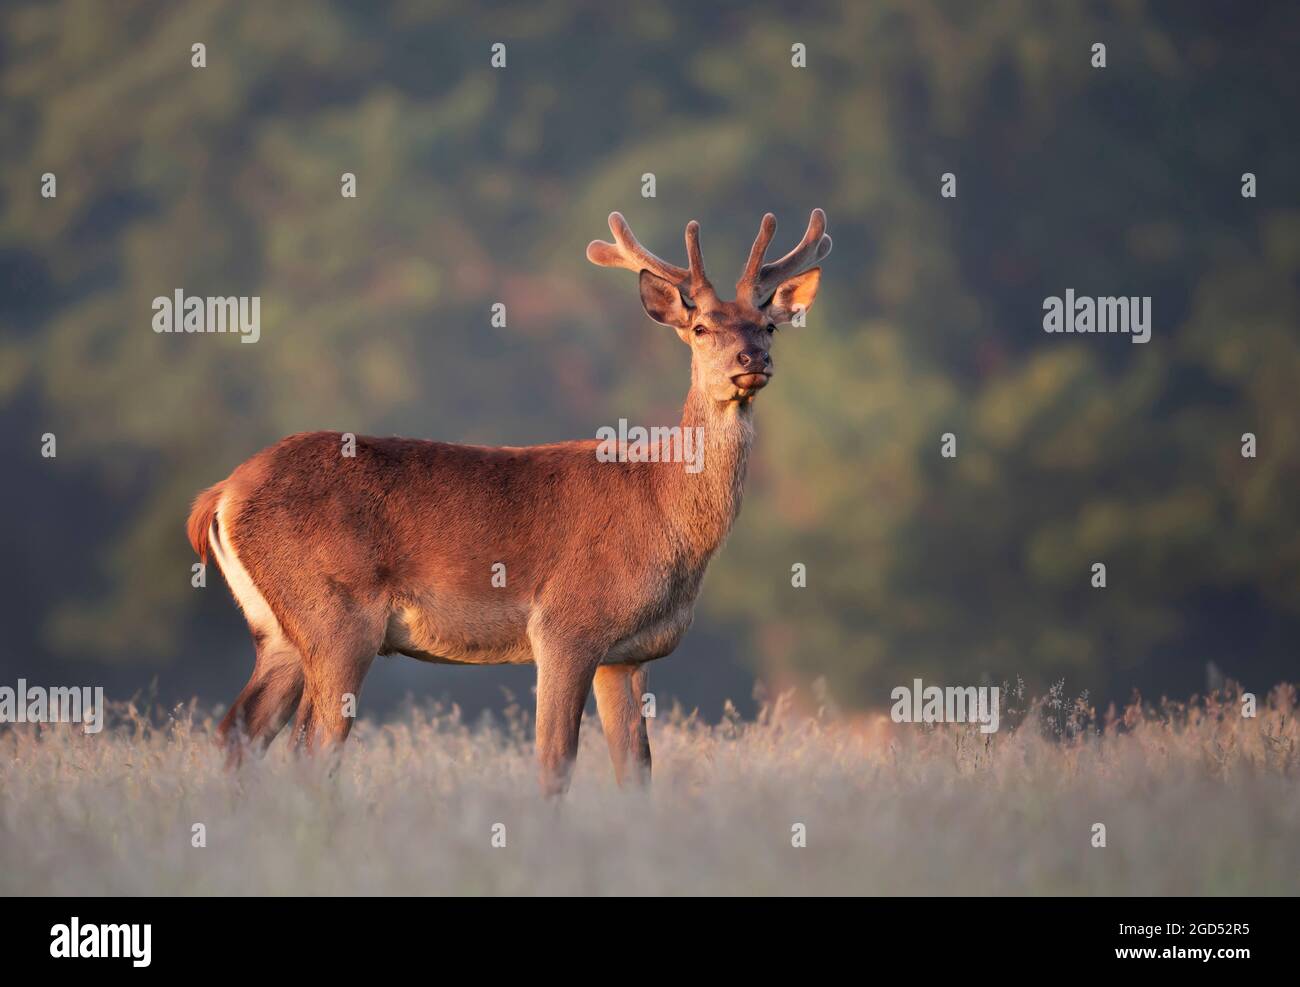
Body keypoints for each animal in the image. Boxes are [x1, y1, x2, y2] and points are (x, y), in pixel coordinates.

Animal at [187, 209, 830, 795]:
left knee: (236, 732)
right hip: (335, 616)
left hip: (277, 631)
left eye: (768, 326)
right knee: (310, 746)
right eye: (700, 328)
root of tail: (220, 494)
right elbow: (555, 761)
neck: (664, 511)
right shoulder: (567, 624)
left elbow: (637, 771)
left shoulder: (628, 655)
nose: (752, 361)